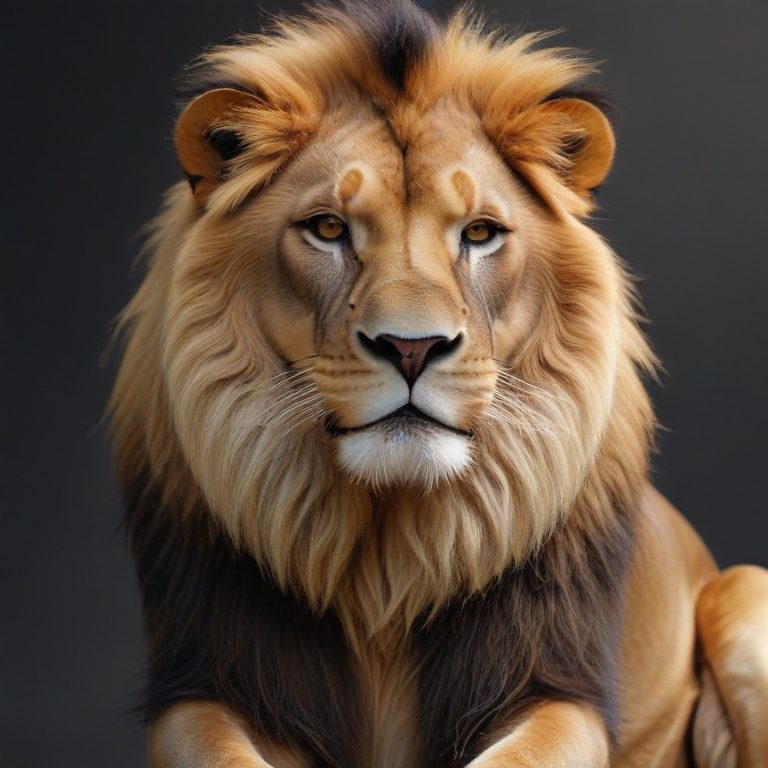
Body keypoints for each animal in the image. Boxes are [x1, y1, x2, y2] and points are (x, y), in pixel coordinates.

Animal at [109, 2, 768, 767]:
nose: (411, 347)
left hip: (746, 590)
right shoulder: (207, 683)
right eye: (327, 227)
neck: (388, 560)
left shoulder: (556, 688)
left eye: (479, 234)